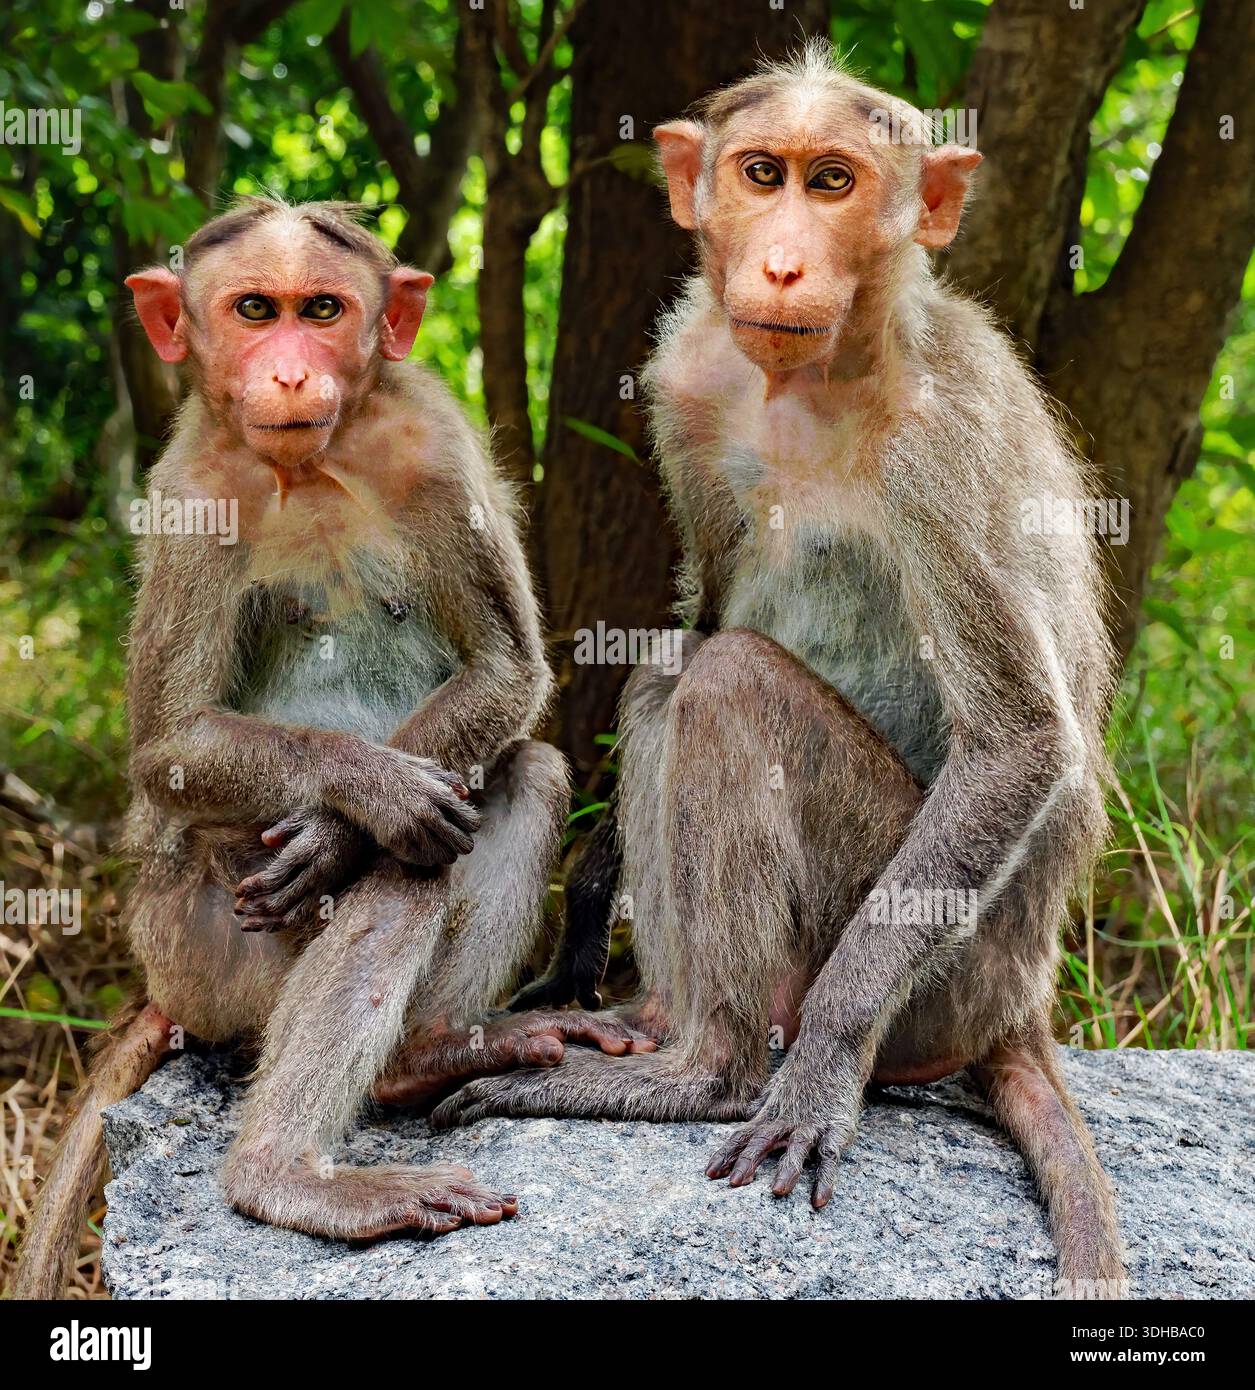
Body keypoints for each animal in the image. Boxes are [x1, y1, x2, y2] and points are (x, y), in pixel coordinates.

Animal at [13, 197, 650, 1300]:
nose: (287, 371)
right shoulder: (189, 487)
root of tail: (158, 985)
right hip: (211, 959)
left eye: (321, 309)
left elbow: (504, 666)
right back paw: (289, 1173)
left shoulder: (433, 438)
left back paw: (427, 1053)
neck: (307, 464)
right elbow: (171, 743)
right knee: (404, 857)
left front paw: (340, 830)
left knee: (520, 773)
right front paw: (365, 796)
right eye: (253, 310)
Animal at [441, 45, 1127, 1296]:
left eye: (835, 181)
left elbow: (1019, 740)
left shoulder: (939, 444)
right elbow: (705, 605)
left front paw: (819, 1063)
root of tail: (1019, 1002)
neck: (823, 373)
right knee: (677, 674)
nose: (783, 259)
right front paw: (588, 902)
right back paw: (655, 1017)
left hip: (942, 972)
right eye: (764, 174)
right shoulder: (685, 374)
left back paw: (706, 1072)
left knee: (733, 689)